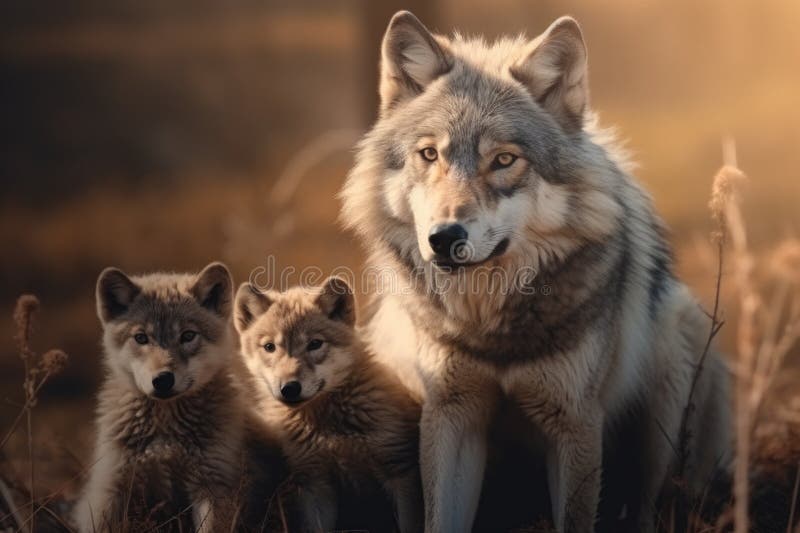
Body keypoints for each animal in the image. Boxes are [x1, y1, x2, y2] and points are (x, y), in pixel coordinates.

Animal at [73, 262, 280, 532]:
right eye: (141, 338)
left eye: (188, 336)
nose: (162, 379)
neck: (166, 434)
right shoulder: (111, 489)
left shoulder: (212, 488)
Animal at [234, 276, 423, 533]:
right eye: (270, 347)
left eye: (315, 344)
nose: (289, 388)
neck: (328, 426)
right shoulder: (314, 485)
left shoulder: (400, 472)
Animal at [340, 11, 731, 533]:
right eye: (430, 155)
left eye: (504, 159)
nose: (444, 237)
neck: (489, 326)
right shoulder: (451, 415)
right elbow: (441, 517)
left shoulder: (574, 423)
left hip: (674, 350)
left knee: (651, 504)